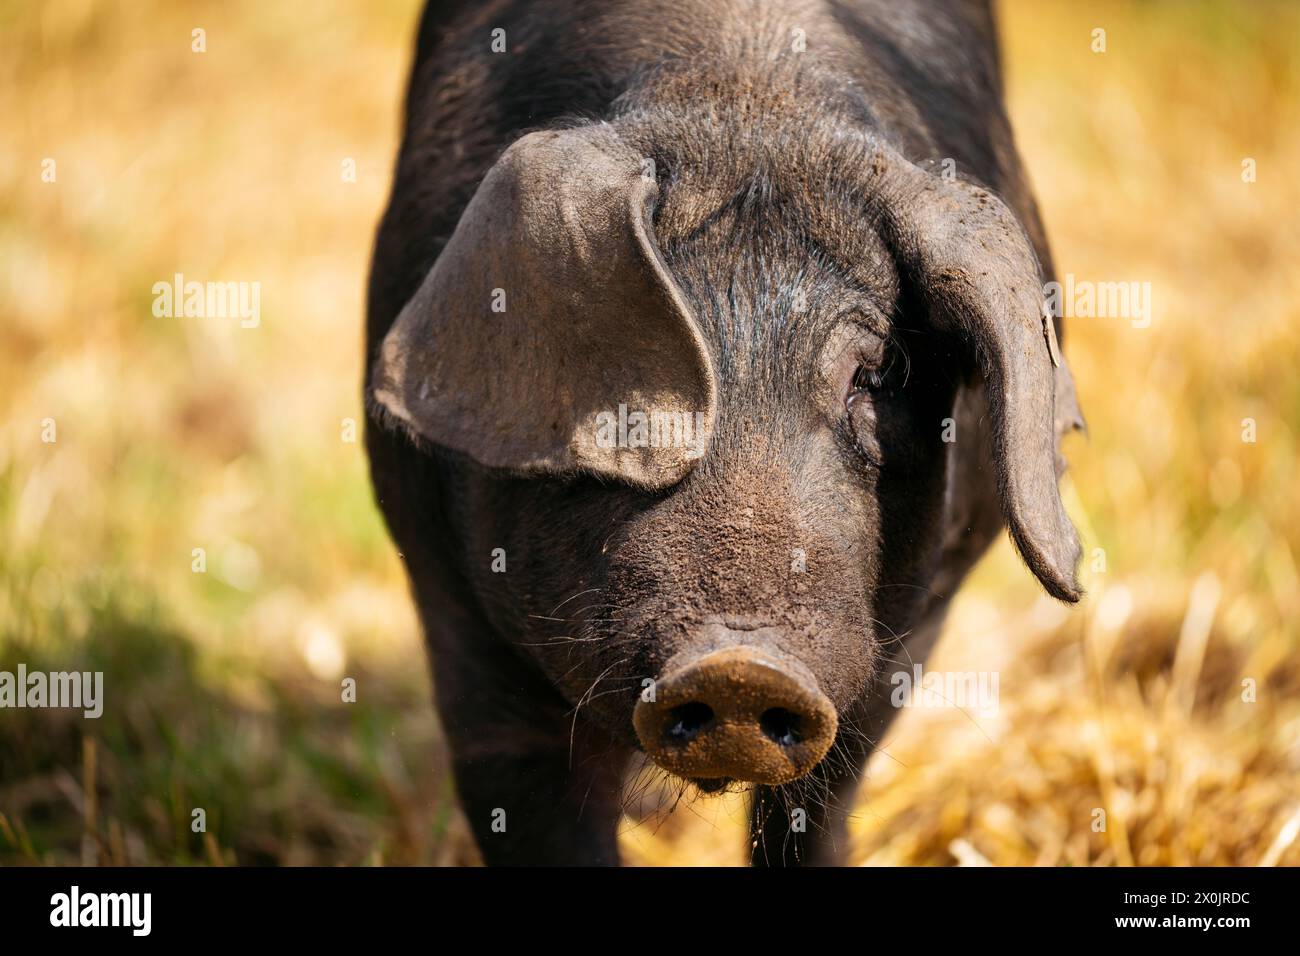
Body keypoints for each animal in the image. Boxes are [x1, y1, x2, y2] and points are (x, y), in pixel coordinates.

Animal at [364, 0, 1085, 866]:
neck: (748, 98)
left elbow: (818, 807)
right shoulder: (452, 606)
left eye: (877, 375)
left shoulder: (913, 630)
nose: (740, 670)